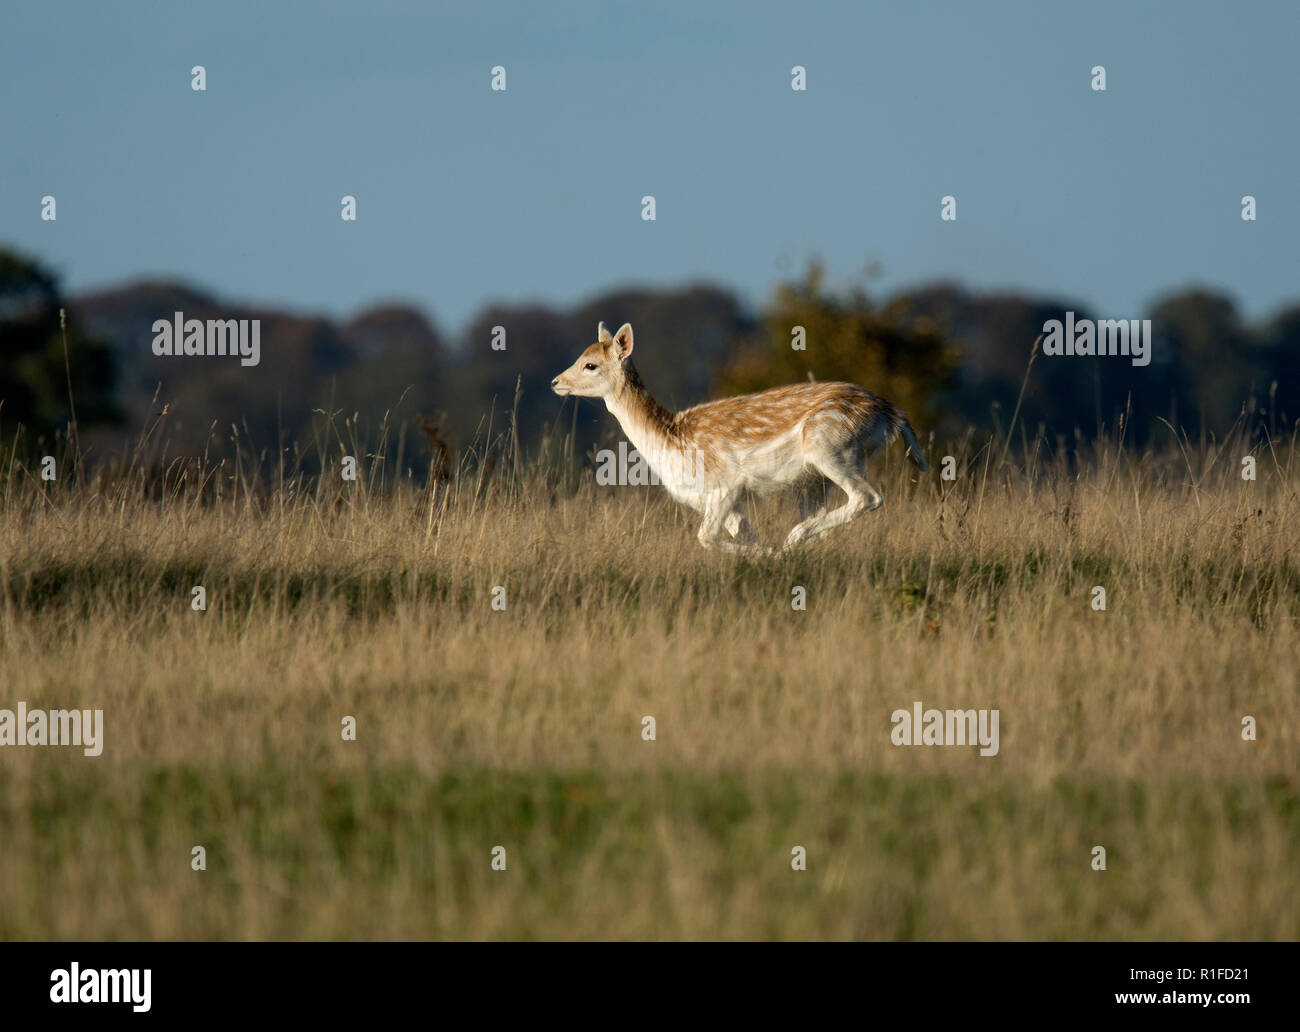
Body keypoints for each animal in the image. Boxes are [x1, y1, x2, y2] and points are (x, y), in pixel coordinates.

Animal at [551, 322, 928, 555]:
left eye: (590, 365)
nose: (556, 382)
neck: (671, 442)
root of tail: (891, 414)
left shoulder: (726, 485)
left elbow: (704, 537)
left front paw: (769, 555)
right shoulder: (717, 499)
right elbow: (745, 533)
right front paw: (765, 555)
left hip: (834, 448)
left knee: (868, 496)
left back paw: (792, 539)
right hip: (813, 479)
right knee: (827, 513)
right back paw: (795, 545)